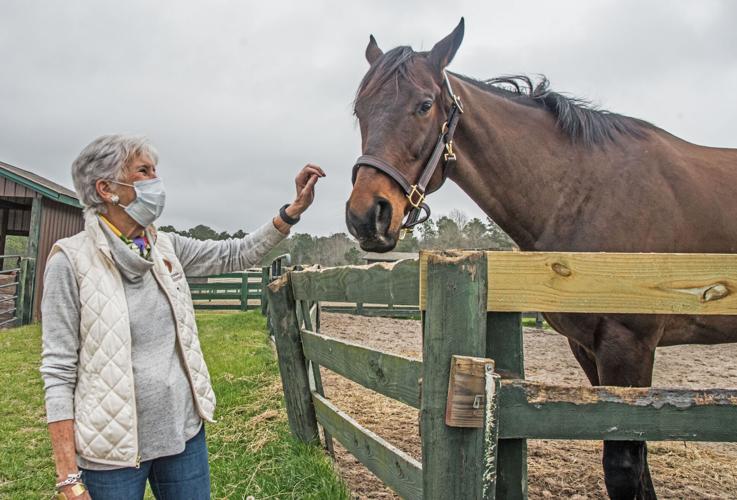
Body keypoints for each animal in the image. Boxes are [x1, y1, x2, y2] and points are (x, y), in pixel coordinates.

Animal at [345, 18, 737, 500]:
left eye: (424, 105)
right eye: (361, 111)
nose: (367, 216)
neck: (589, 191)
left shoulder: (630, 345)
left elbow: (625, 466)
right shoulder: (588, 347)